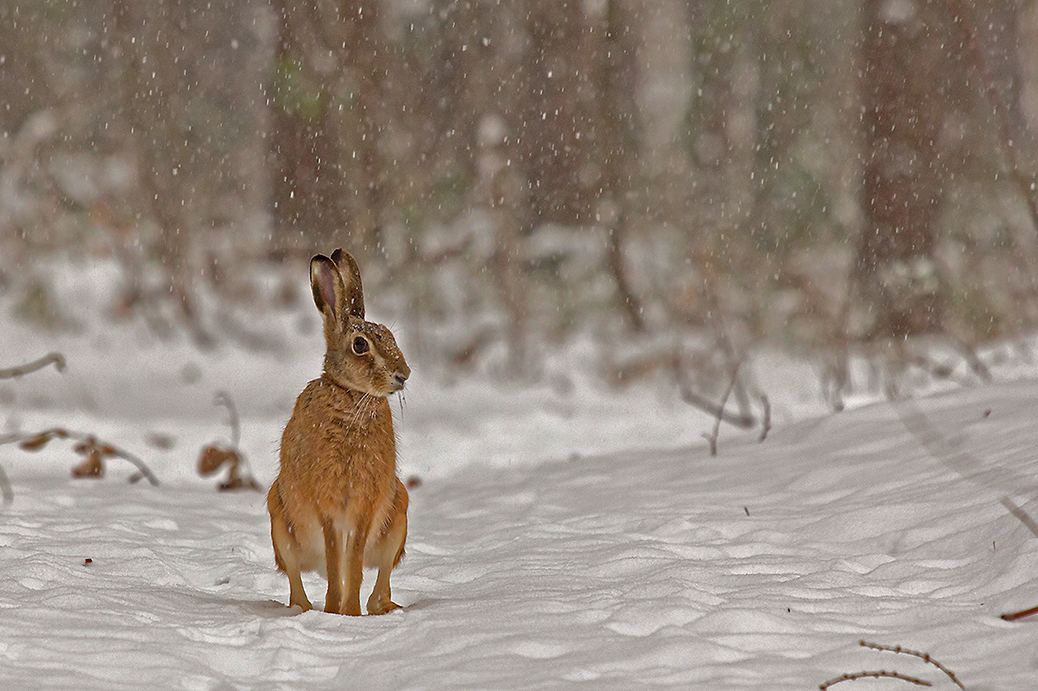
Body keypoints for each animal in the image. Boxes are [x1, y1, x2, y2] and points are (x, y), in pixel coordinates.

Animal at [267, 248, 411, 616]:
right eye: (360, 345)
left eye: (391, 337)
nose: (403, 375)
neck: (350, 395)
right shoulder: (327, 504)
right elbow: (336, 563)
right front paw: (335, 613)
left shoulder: (366, 505)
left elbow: (354, 565)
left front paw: (349, 614)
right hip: (279, 517)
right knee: (297, 577)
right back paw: (302, 609)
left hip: (398, 512)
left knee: (380, 579)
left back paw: (385, 608)